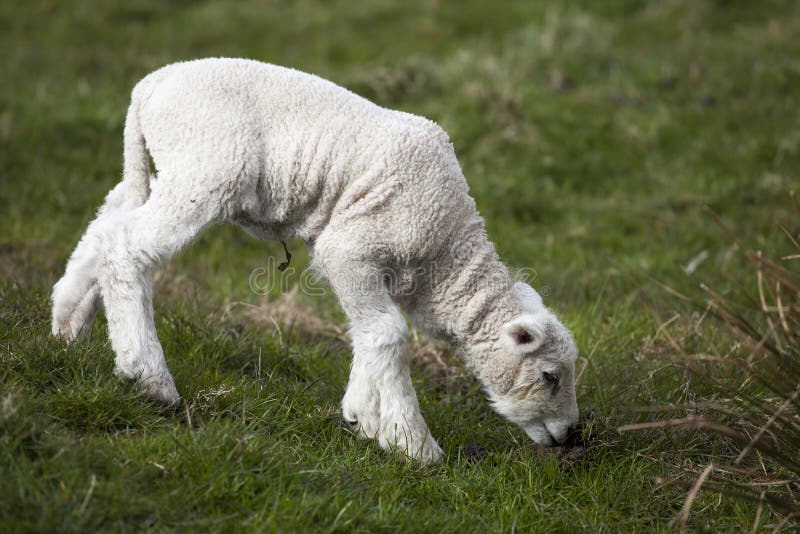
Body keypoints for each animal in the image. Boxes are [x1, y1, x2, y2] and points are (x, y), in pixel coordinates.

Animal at [51, 58, 579, 463]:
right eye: (549, 376)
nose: (570, 435)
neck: (446, 260)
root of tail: (150, 85)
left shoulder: (374, 267)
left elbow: (370, 334)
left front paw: (364, 416)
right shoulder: (349, 247)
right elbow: (388, 334)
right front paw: (413, 443)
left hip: (171, 172)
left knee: (108, 222)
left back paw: (67, 324)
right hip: (207, 173)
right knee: (127, 250)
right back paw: (148, 375)